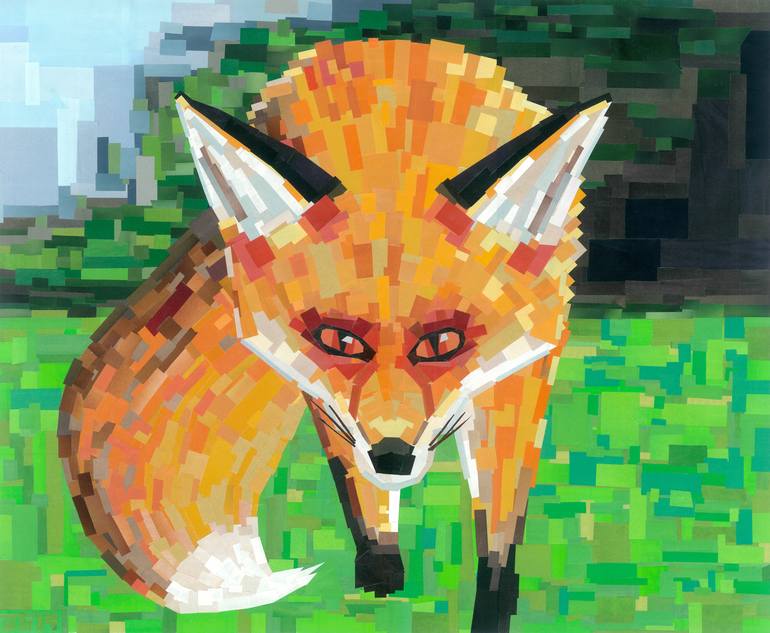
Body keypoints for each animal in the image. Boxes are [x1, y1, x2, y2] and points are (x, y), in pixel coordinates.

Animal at [58, 39, 608, 632]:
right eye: (339, 341)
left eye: (443, 344)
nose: (393, 457)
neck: (399, 150)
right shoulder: (328, 392)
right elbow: (357, 481)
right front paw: (382, 572)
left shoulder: (524, 369)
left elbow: (501, 528)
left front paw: (492, 609)